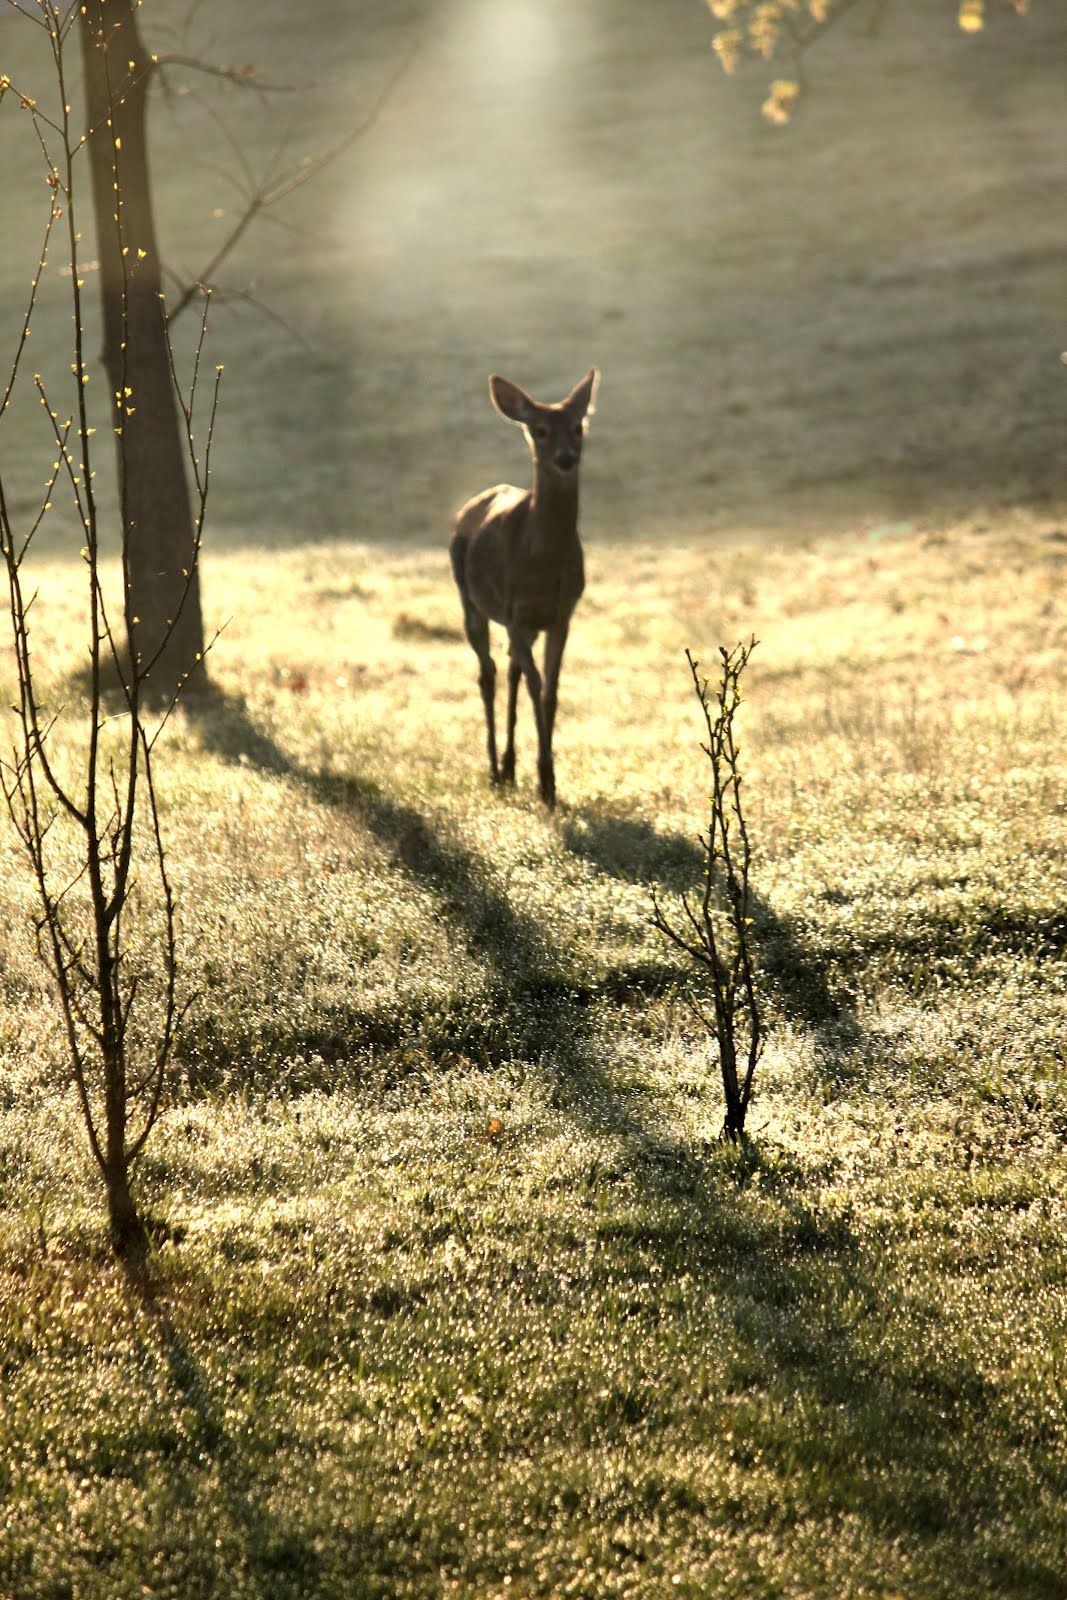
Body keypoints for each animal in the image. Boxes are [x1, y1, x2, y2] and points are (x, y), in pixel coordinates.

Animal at [449, 368, 599, 810]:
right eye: (540, 430)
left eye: (578, 426)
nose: (565, 458)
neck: (543, 562)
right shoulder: (515, 609)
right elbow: (535, 684)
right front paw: (546, 780)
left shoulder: (562, 613)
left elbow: (551, 688)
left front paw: (548, 778)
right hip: (470, 598)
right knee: (487, 672)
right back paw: (494, 770)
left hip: (526, 623)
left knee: (511, 666)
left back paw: (510, 766)